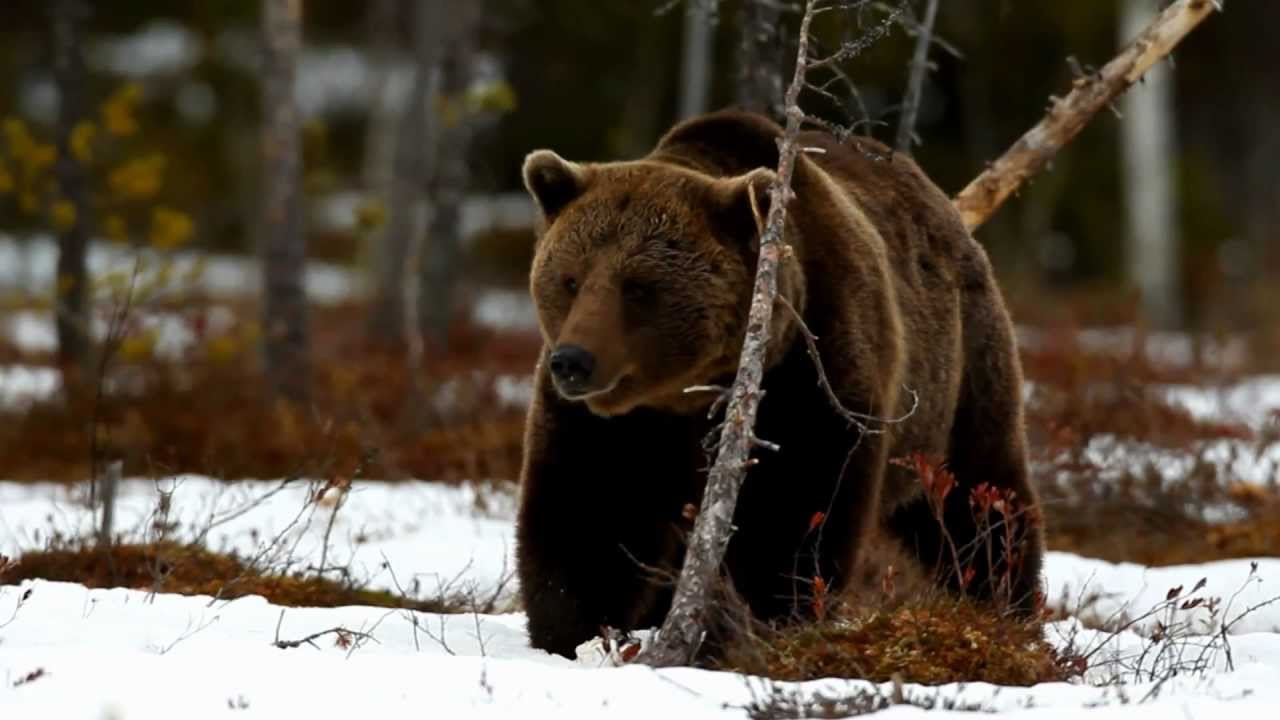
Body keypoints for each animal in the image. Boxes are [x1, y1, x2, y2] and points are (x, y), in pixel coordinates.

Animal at [514, 109, 1044, 660]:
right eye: (570, 280)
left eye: (638, 288)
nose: (573, 361)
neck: (690, 394)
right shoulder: (608, 426)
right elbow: (589, 514)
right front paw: (576, 635)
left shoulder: (809, 374)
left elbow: (794, 516)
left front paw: (755, 627)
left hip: (958, 377)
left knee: (979, 498)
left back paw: (1009, 609)